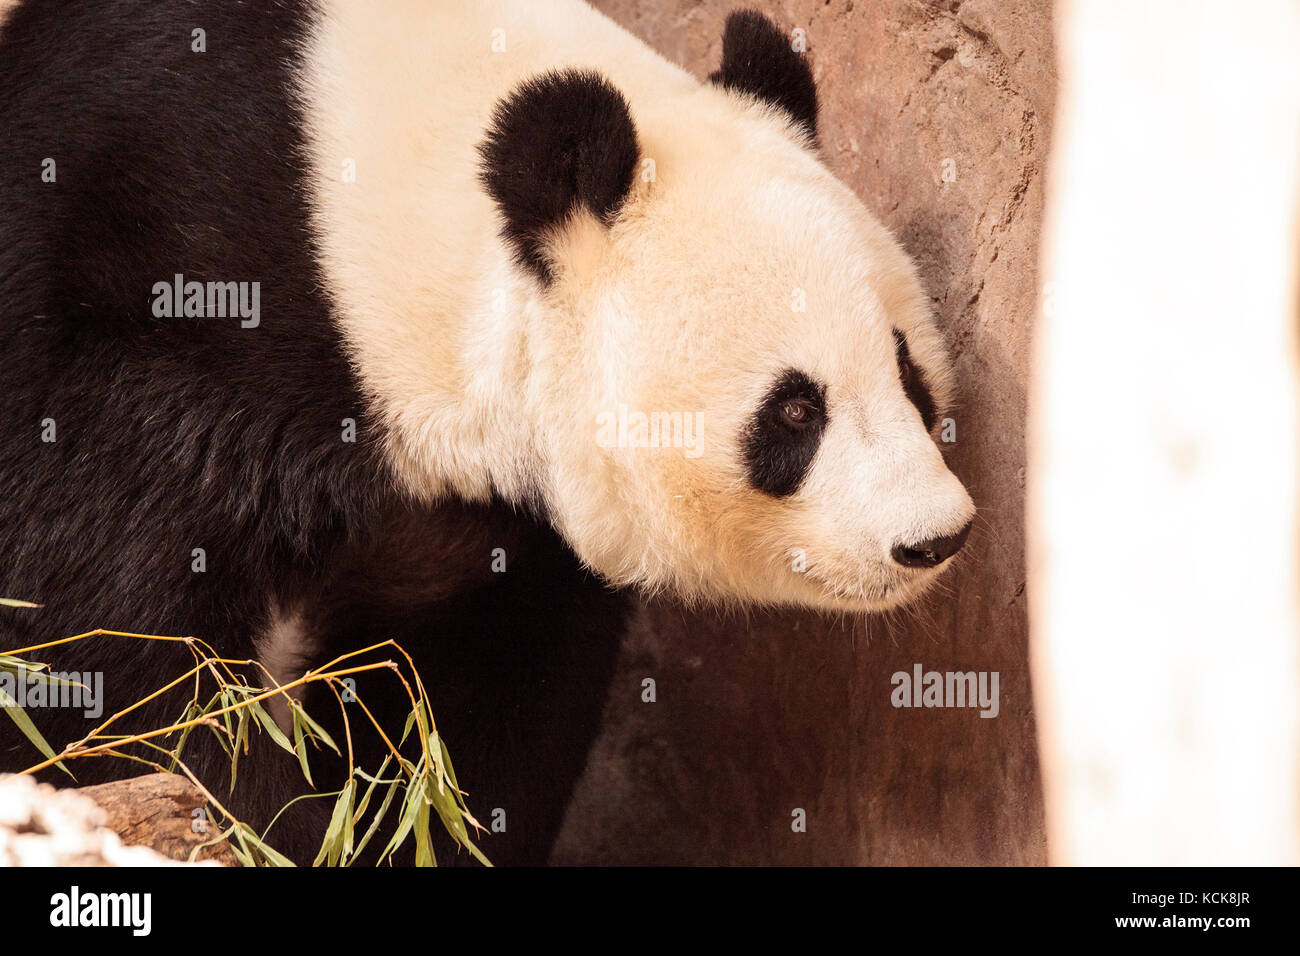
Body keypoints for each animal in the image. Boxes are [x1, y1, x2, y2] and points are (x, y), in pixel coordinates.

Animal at [0, 0, 974, 865]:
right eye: (797, 410)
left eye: (908, 372)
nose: (934, 538)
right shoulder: (166, 309)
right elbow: (116, 647)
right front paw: (263, 825)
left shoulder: (491, 523)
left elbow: (475, 696)